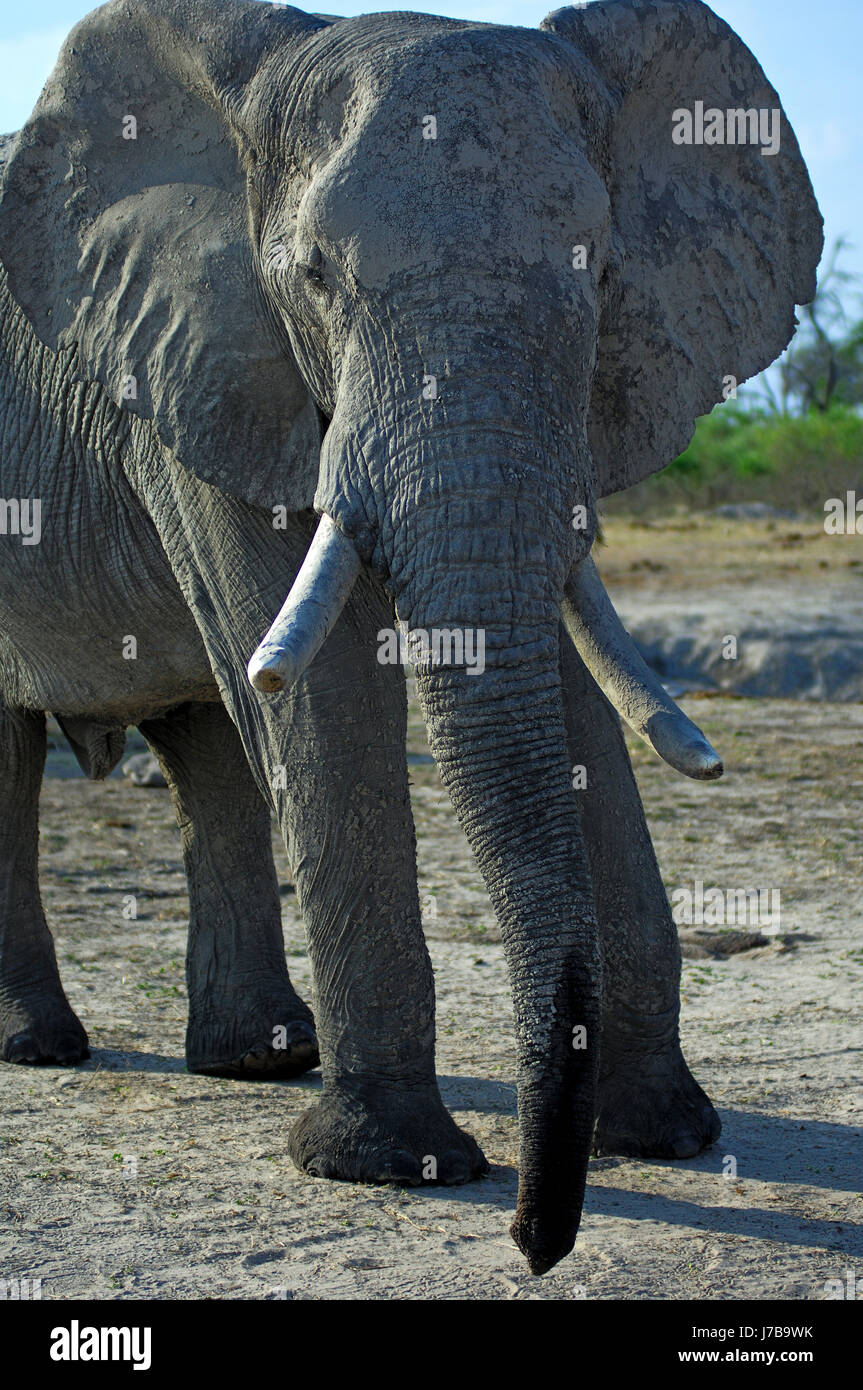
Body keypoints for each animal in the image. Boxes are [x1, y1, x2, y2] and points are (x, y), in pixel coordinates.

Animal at [0, 0, 821, 1275]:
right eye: (313, 277)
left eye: (598, 271)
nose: (538, 1245)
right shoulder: (203, 361)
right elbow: (322, 693)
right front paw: (390, 1165)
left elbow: (568, 678)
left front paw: (668, 1134)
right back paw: (44, 1047)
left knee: (202, 742)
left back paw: (260, 1057)